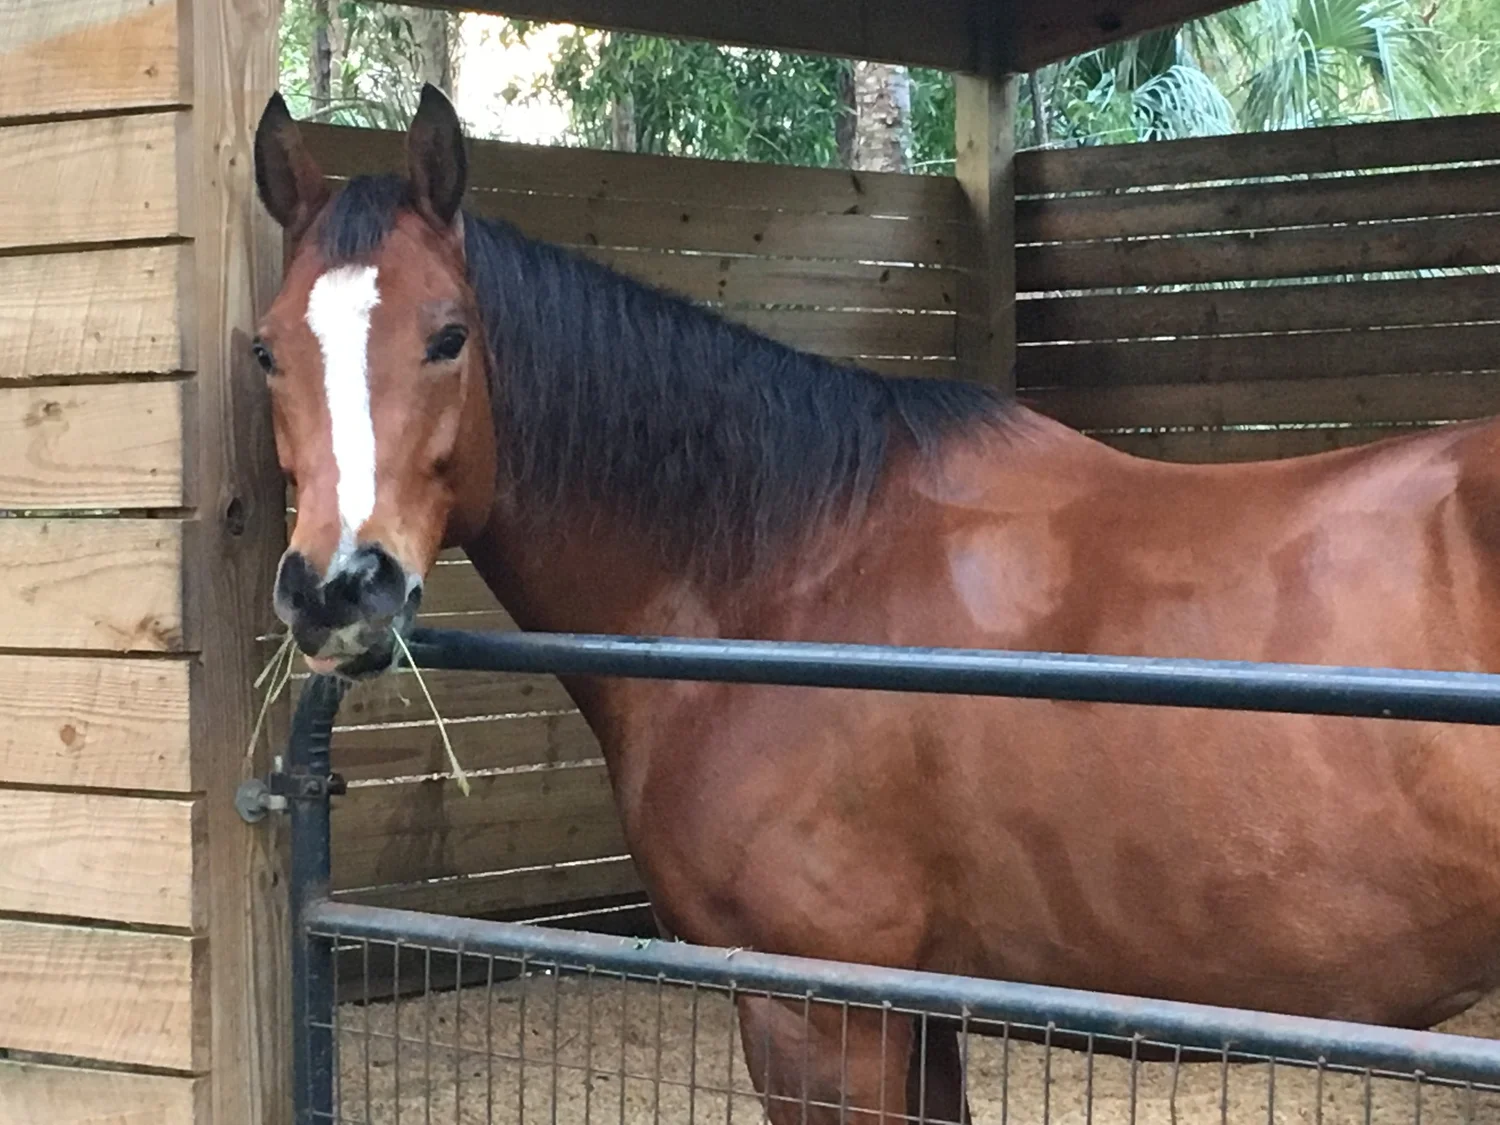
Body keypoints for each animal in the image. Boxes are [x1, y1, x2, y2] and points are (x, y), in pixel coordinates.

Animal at [252, 84, 1500, 1124]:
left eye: (448, 336)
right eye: (267, 351)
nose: (341, 586)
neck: (786, 568)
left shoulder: (820, 1010)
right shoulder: (920, 1005)